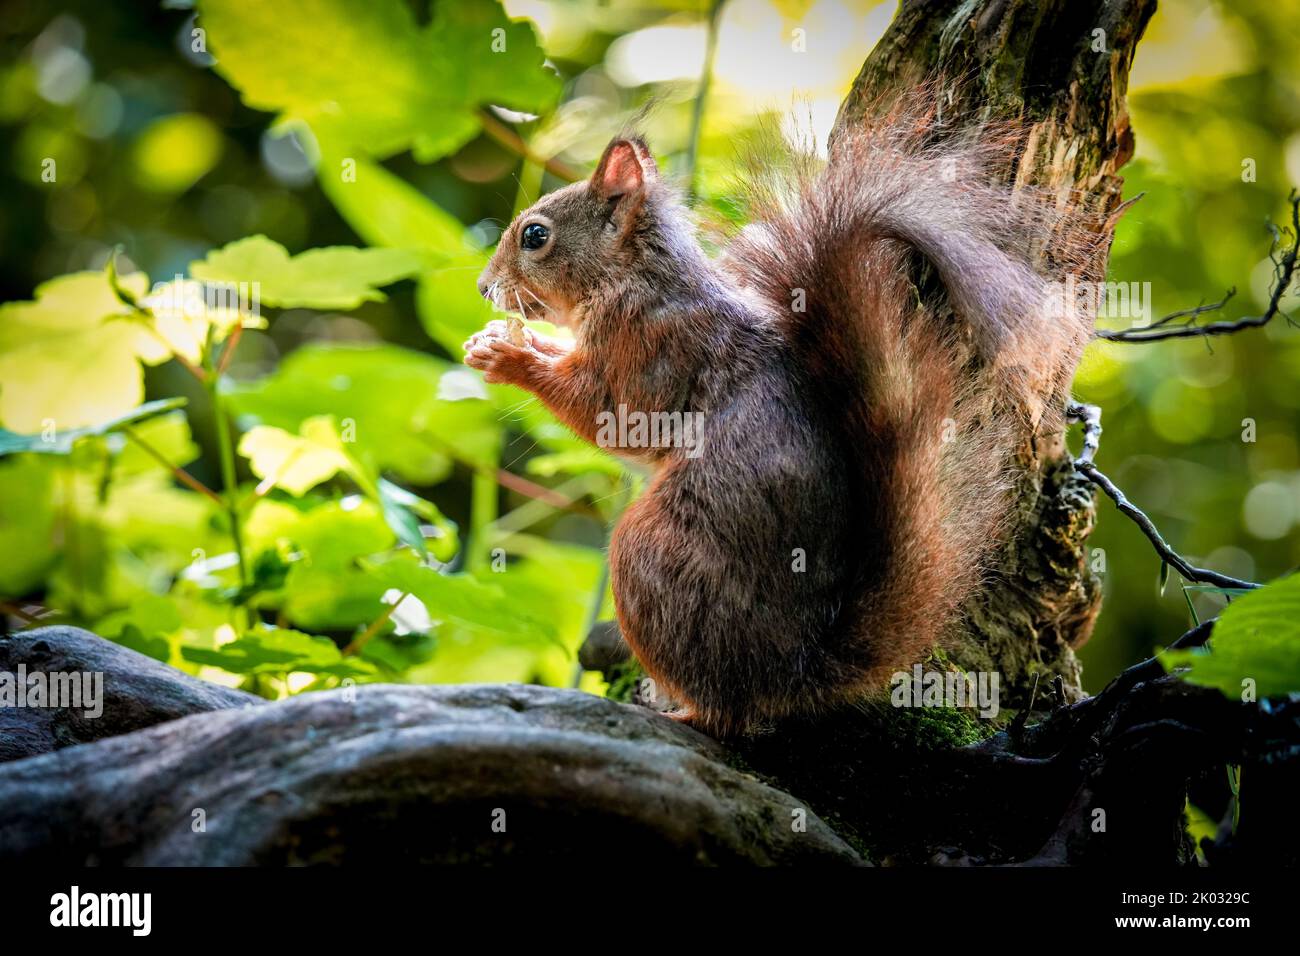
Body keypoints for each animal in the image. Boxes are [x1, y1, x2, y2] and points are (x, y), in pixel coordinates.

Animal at [466, 91, 1101, 737]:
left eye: (535, 235)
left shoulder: (654, 353)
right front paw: (508, 340)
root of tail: (792, 674)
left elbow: (606, 412)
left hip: (653, 555)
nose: (485, 287)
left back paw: (686, 710)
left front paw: (511, 357)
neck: (633, 278)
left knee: (727, 713)